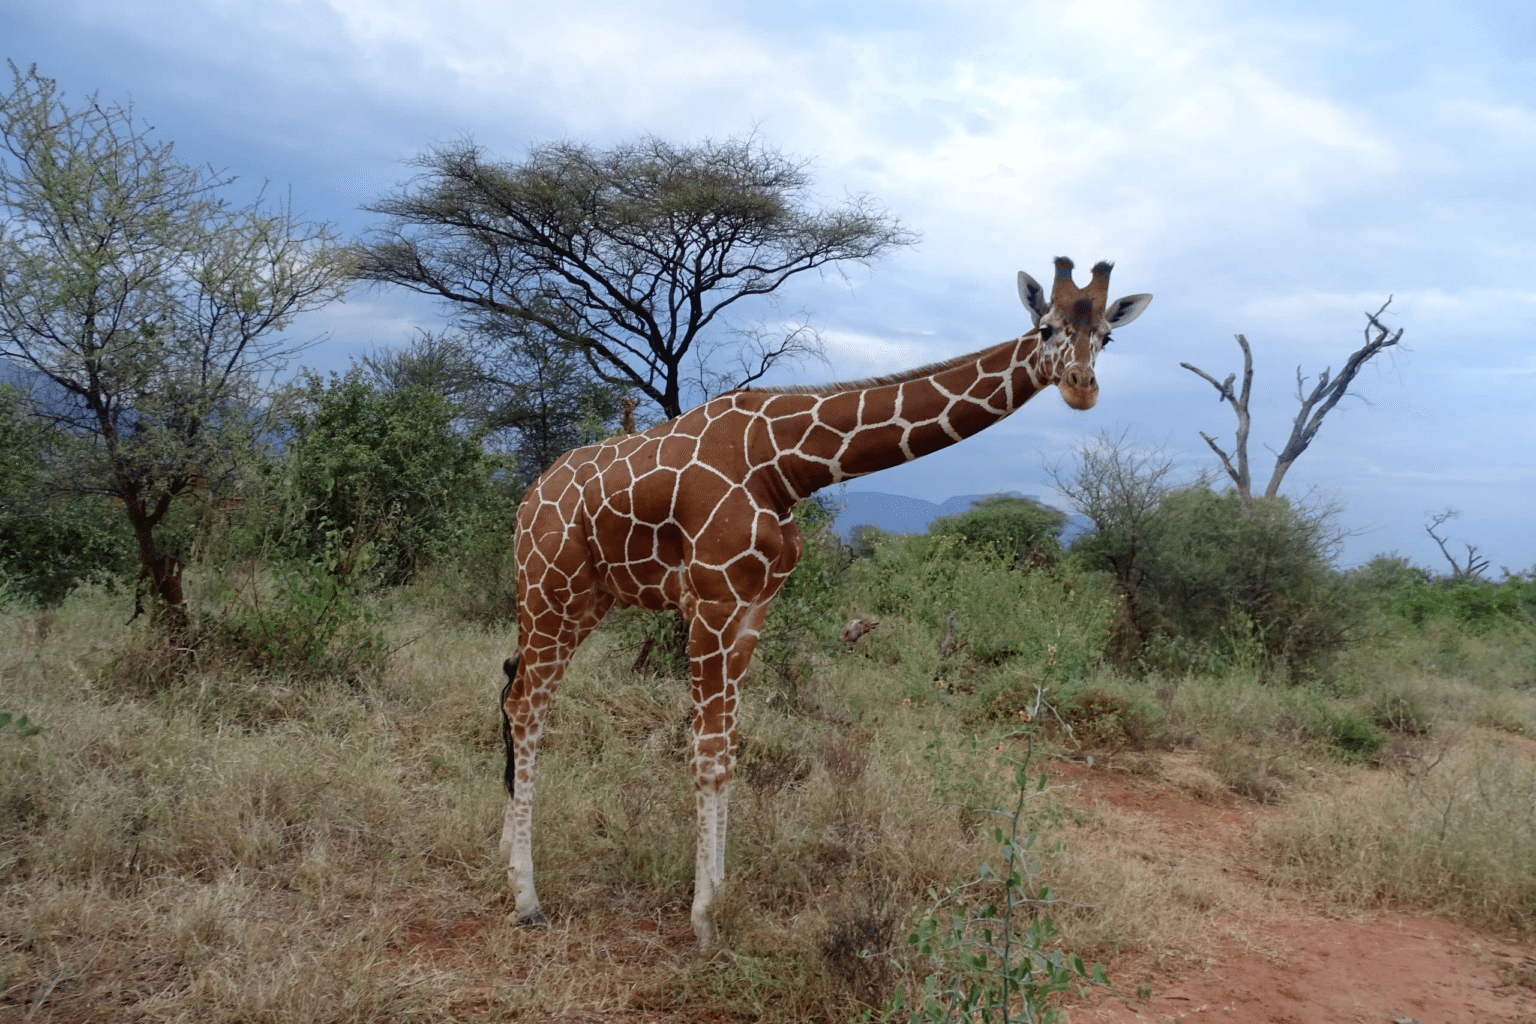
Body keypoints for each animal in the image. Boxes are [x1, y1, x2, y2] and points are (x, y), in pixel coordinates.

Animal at [500, 257, 1152, 946]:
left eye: (1107, 337)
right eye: (1047, 327)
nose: (1082, 388)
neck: (784, 465)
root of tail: (527, 499)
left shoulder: (752, 609)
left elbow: (730, 749)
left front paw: (721, 896)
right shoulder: (712, 601)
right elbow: (707, 753)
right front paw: (702, 918)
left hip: (582, 601)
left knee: (519, 689)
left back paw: (506, 856)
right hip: (549, 590)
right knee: (527, 707)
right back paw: (527, 898)